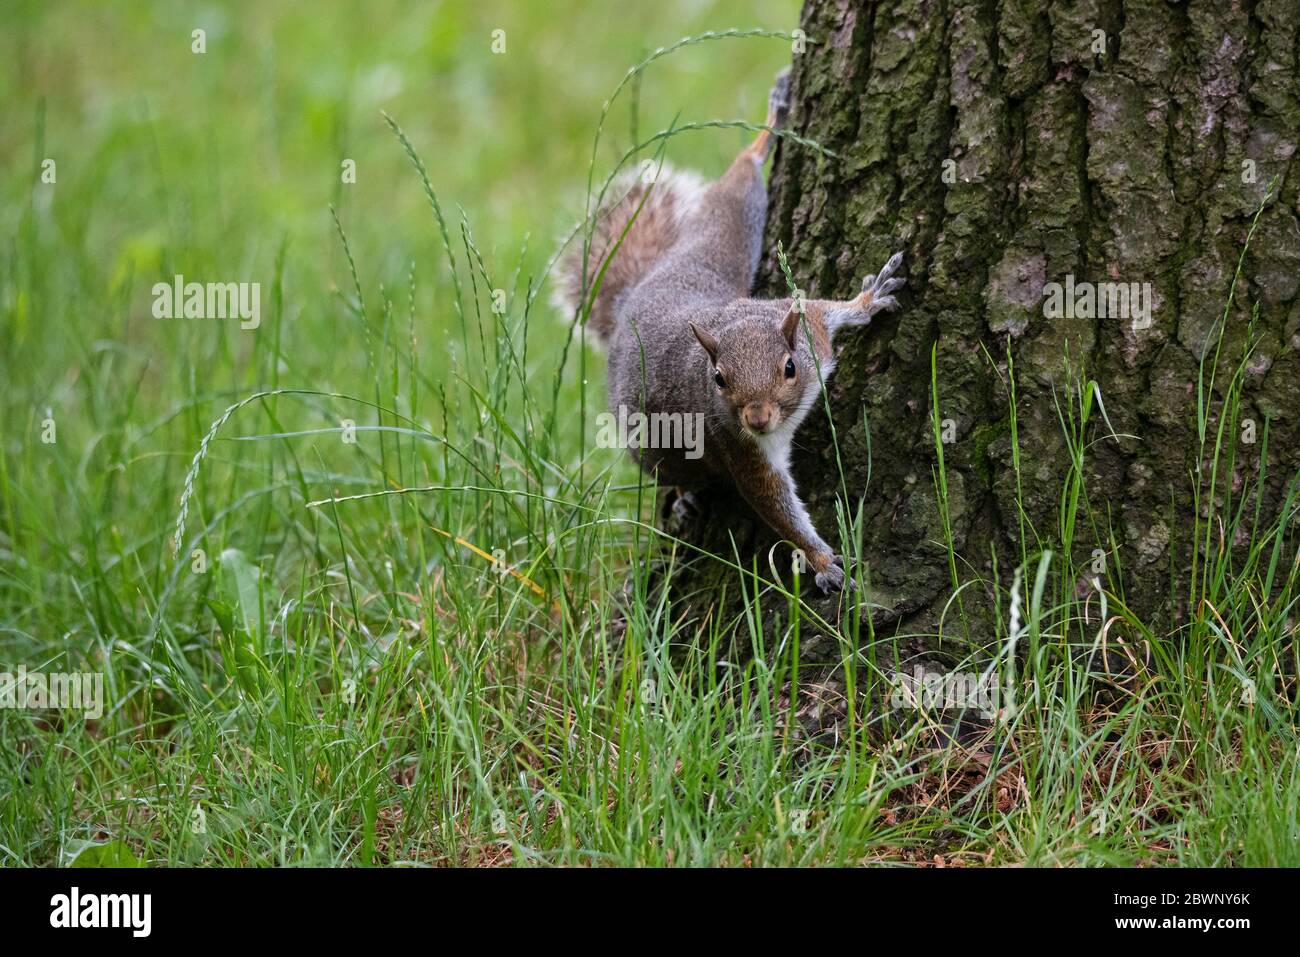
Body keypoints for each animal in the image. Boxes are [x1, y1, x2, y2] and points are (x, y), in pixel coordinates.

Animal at [555, 69, 904, 594]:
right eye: (719, 379)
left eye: (789, 368)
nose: (757, 419)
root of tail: (632, 300)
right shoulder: (735, 446)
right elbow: (773, 504)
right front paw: (822, 563)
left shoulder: (807, 329)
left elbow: (827, 311)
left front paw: (869, 300)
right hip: (652, 438)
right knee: (666, 469)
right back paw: (684, 497)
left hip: (718, 245)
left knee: (736, 190)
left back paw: (770, 125)